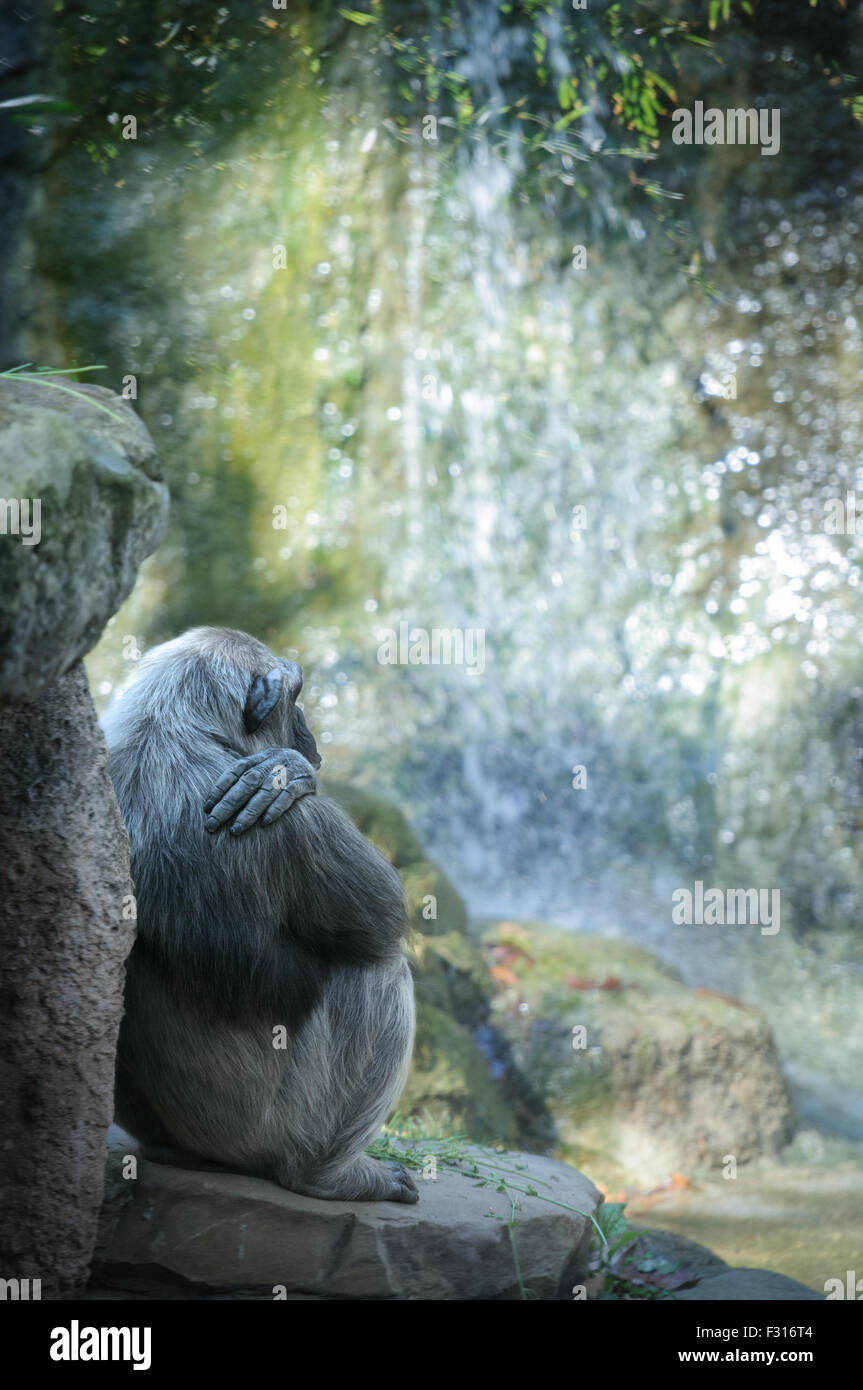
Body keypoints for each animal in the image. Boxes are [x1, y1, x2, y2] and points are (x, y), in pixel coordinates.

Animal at [101, 626, 418, 1204]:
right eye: (298, 692)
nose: (309, 733)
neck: (167, 726)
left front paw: (287, 769)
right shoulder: (305, 824)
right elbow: (385, 919)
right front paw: (289, 773)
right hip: (278, 1132)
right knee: (380, 971)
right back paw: (334, 1176)